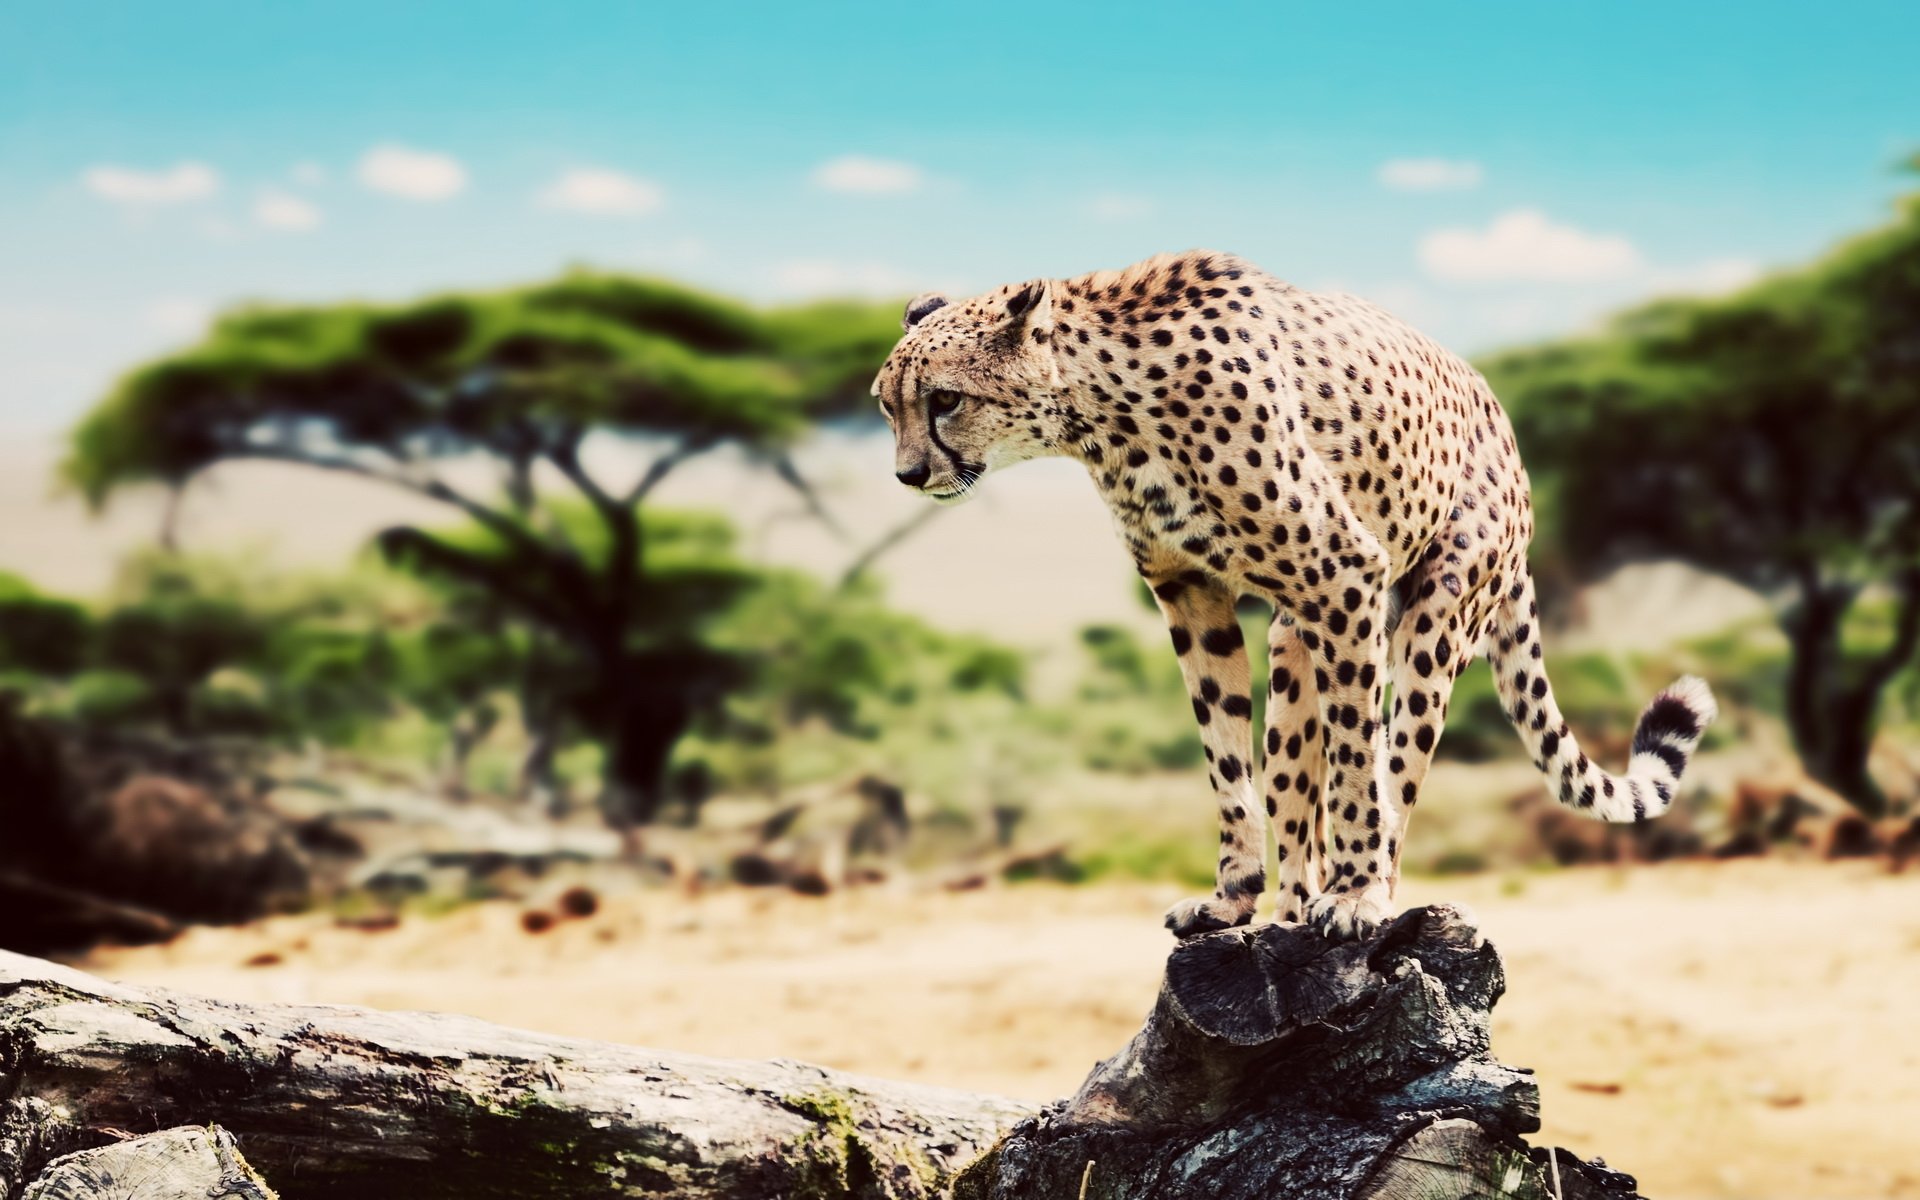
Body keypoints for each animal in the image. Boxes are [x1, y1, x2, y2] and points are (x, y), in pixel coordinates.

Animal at [871, 250, 1718, 940]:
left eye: (945, 399)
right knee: (1292, 769)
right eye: (887, 403)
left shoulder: (1345, 570)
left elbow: (1356, 765)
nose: (908, 475)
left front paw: (1354, 896)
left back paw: (1369, 890)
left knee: (1396, 763)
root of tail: (1502, 418)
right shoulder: (1190, 592)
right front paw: (1232, 897)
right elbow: (1226, 756)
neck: (1103, 412)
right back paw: (1292, 907)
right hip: (1293, 637)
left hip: (1435, 612)